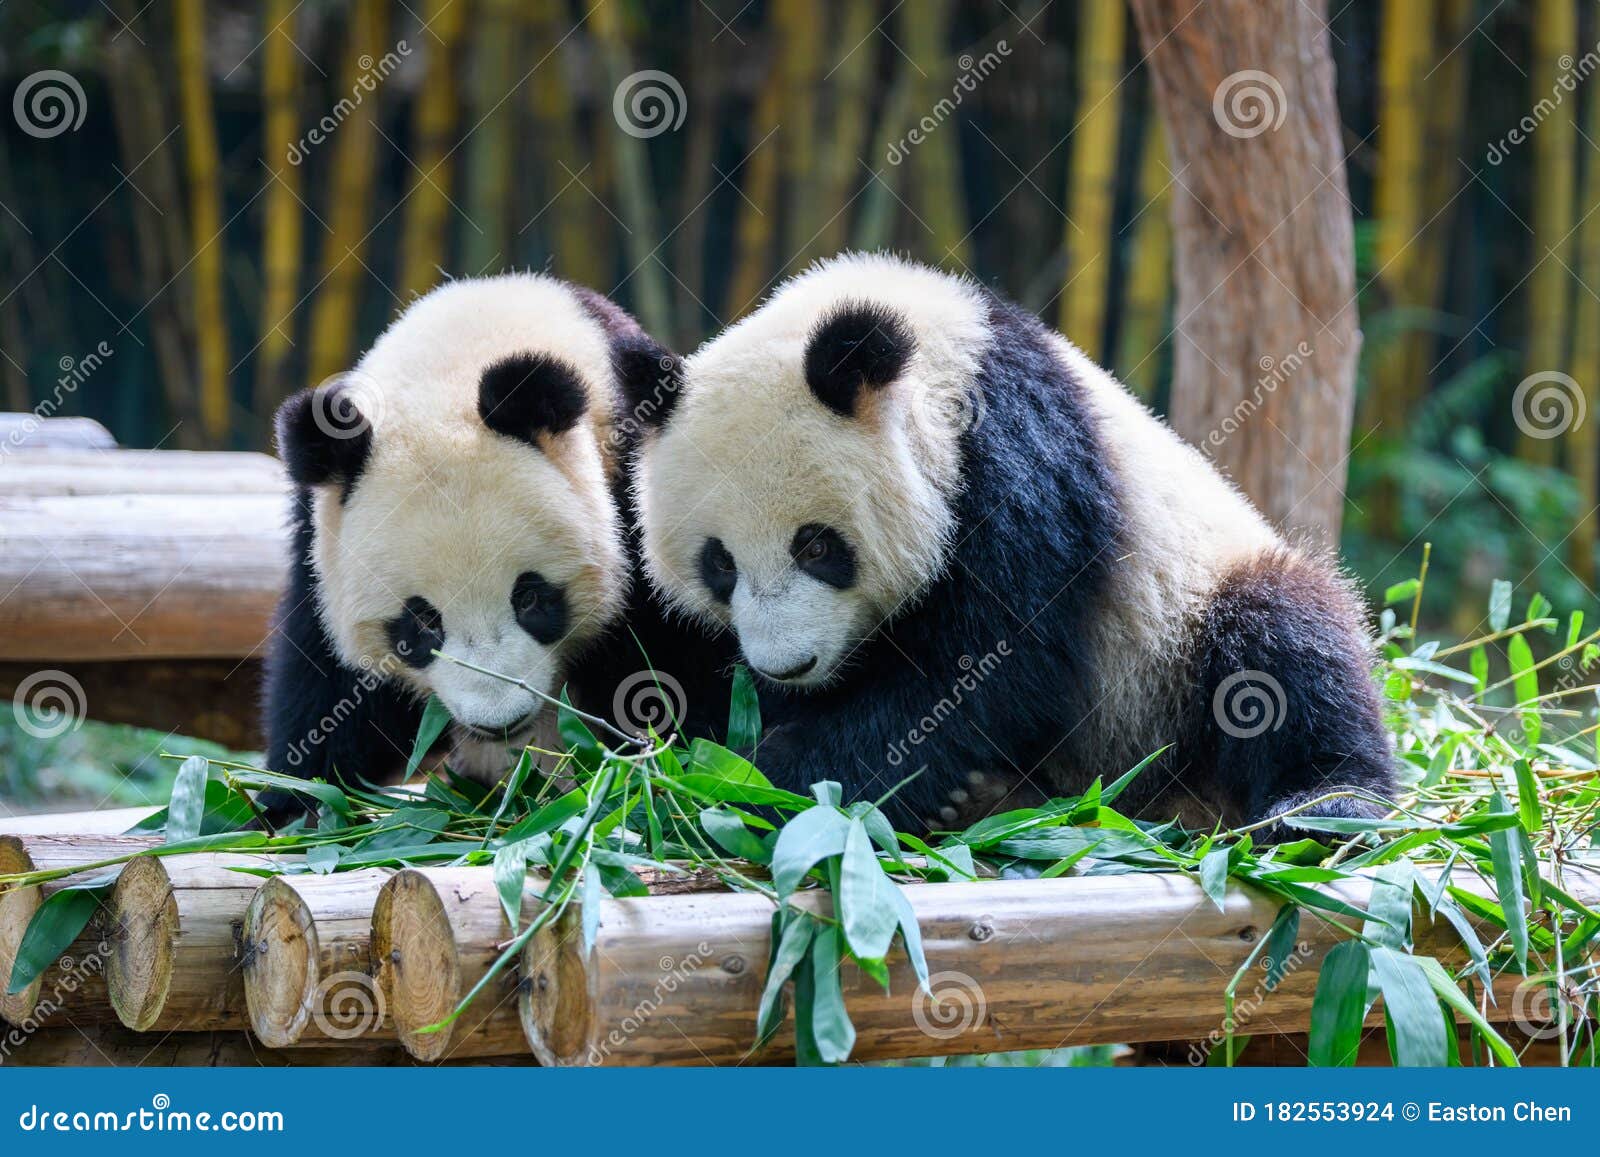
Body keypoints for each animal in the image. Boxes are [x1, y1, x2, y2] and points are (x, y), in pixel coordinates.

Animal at [264, 273, 730, 815]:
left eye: (529, 597)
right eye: (422, 622)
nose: (499, 720)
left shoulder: (635, 475)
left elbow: (675, 664)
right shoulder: (321, 536)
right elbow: (325, 686)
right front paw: (293, 801)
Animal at [626, 252, 1394, 834]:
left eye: (816, 546)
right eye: (719, 563)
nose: (788, 666)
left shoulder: (1018, 467)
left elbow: (983, 668)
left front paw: (771, 772)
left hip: (1182, 631)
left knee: (1283, 648)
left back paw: (1324, 805)